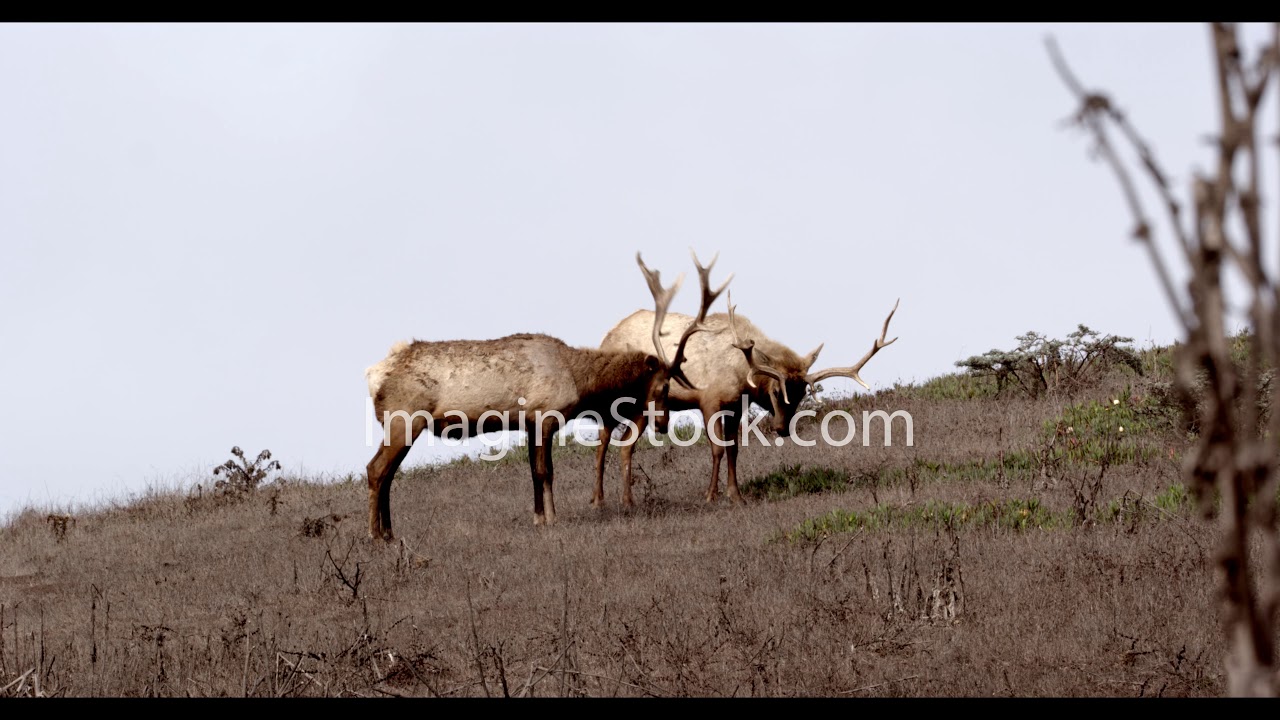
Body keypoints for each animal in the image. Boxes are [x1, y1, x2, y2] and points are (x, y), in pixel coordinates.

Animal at [362, 253, 726, 541]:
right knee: (376, 469)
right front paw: (552, 518)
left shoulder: (528, 423)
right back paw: (376, 535)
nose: (663, 424)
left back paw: (389, 532)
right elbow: (545, 471)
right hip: (404, 419)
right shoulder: (546, 415)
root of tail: (373, 375)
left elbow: (533, 471)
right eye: (664, 385)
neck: (580, 383)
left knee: (387, 473)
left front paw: (539, 517)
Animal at [594, 262, 898, 508]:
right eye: (776, 390)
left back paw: (626, 500)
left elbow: (734, 449)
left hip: (642, 407)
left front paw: (736, 495)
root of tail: (606, 337)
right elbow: (717, 448)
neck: (741, 376)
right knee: (603, 439)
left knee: (625, 445)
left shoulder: (736, 406)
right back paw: (598, 499)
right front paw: (711, 495)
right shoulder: (709, 400)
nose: (782, 428)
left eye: (801, 393)